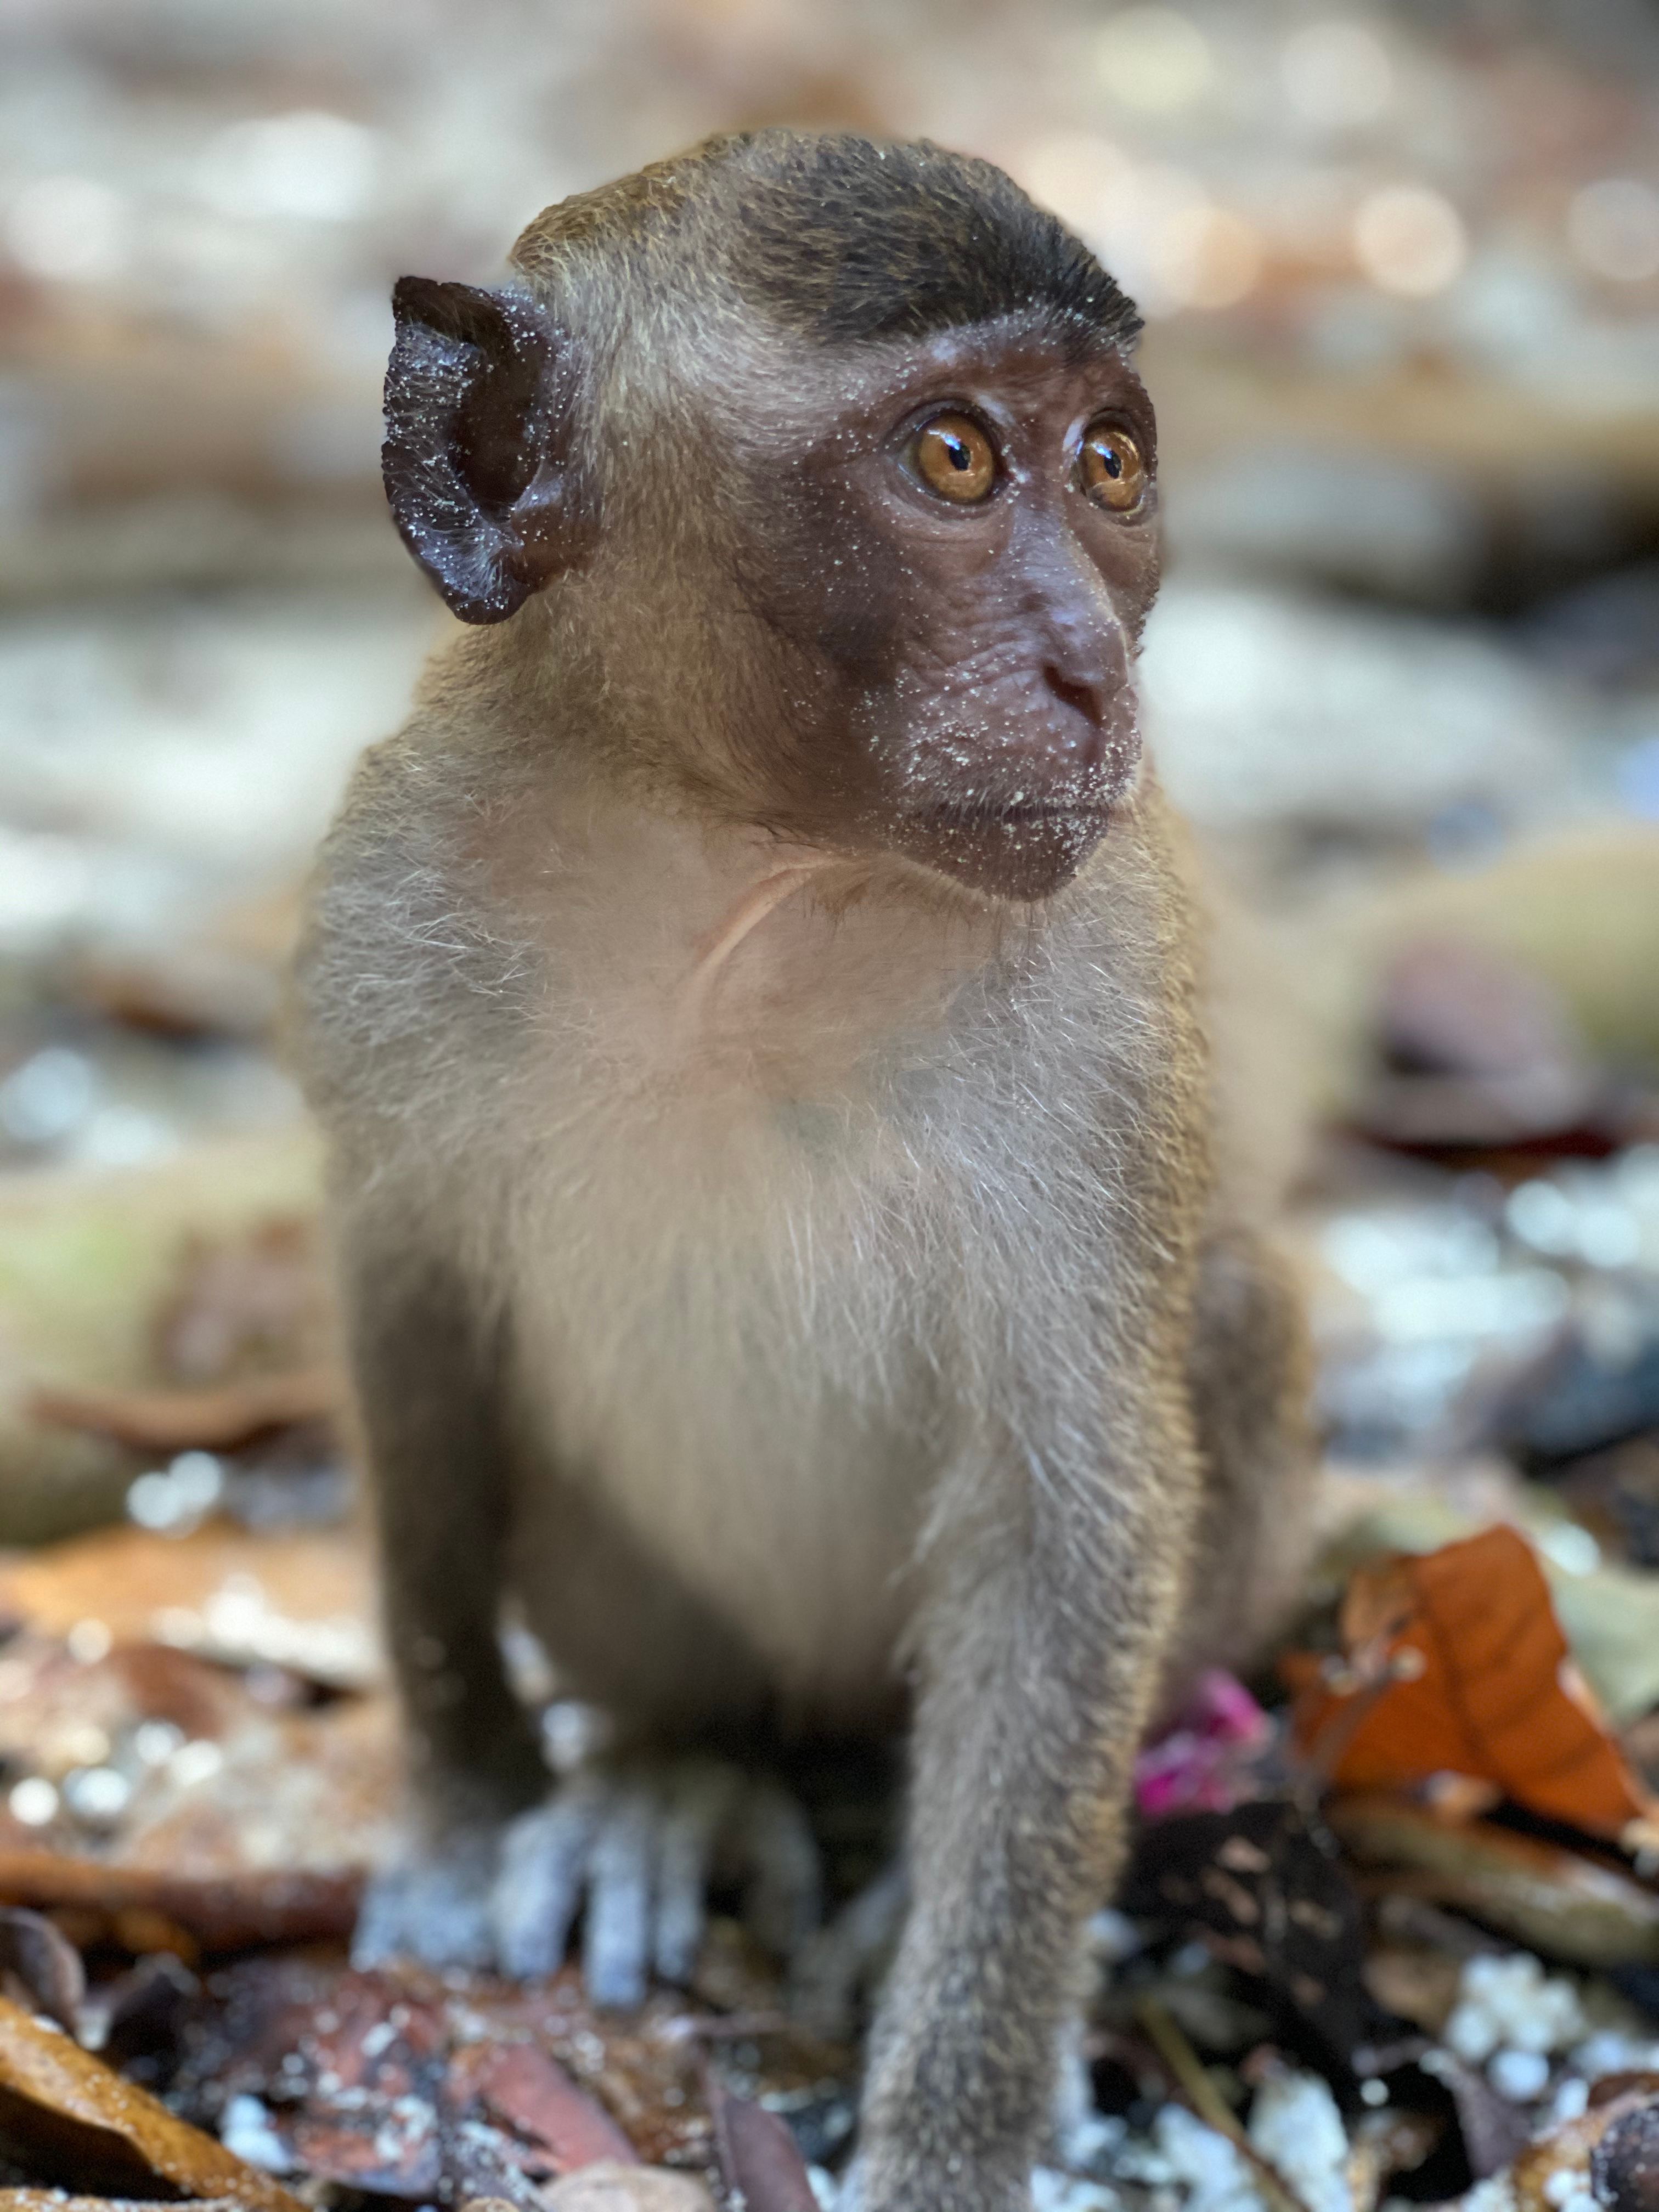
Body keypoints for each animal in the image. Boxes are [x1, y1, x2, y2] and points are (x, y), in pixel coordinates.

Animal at [295, 130, 1314, 2212]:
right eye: (955, 459)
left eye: (1109, 463)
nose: (1090, 670)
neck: (743, 880)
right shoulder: (387, 915)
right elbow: (412, 1338)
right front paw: (468, 1803)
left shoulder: (1100, 1005)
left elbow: (1066, 1521)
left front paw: (951, 2135)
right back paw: (674, 1772)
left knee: (1232, 1320)